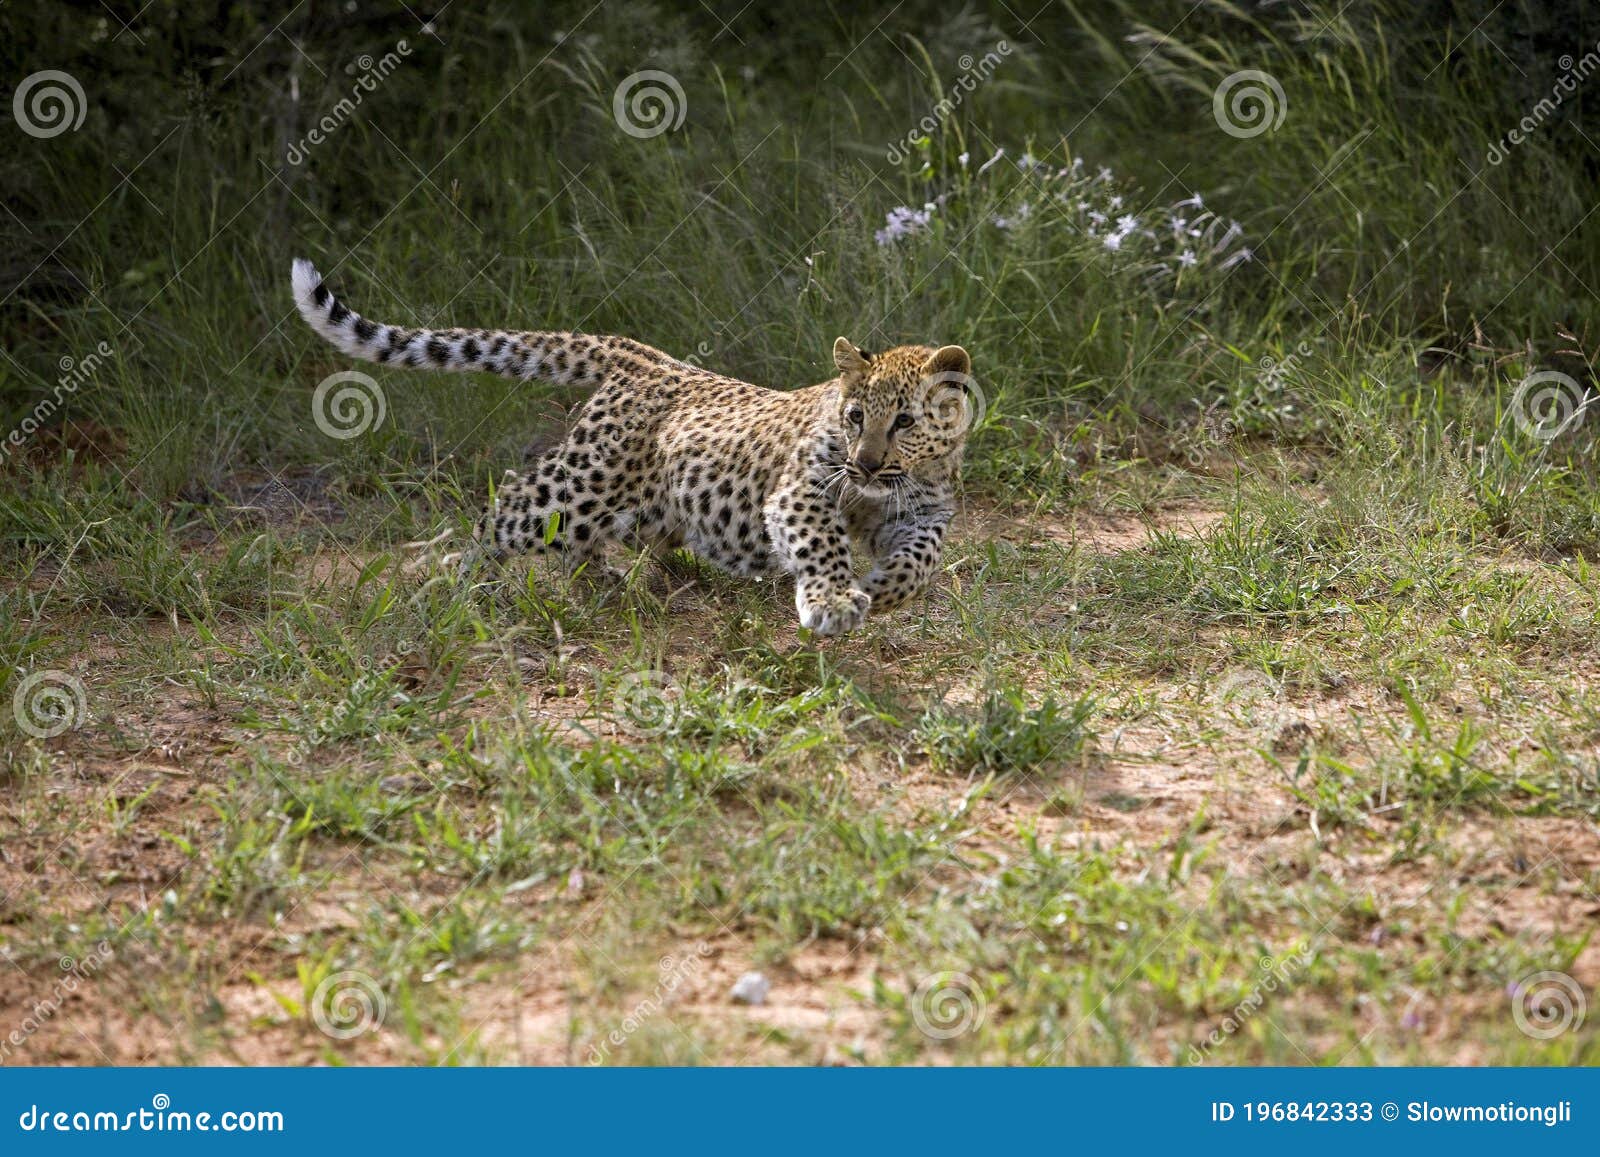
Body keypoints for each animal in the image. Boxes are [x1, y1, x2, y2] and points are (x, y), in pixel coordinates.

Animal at [291, 258, 975, 635]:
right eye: (856, 416)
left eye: (904, 422)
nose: (865, 463)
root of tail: (646, 356)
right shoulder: (801, 491)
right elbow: (823, 544)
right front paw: (833, 602)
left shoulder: (922, 513)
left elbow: (922, 559)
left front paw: (885, 588)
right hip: (579, 488)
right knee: (507, 507)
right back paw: (459, 585)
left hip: (639, 507)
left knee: (580, 540)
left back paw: (609, 585)